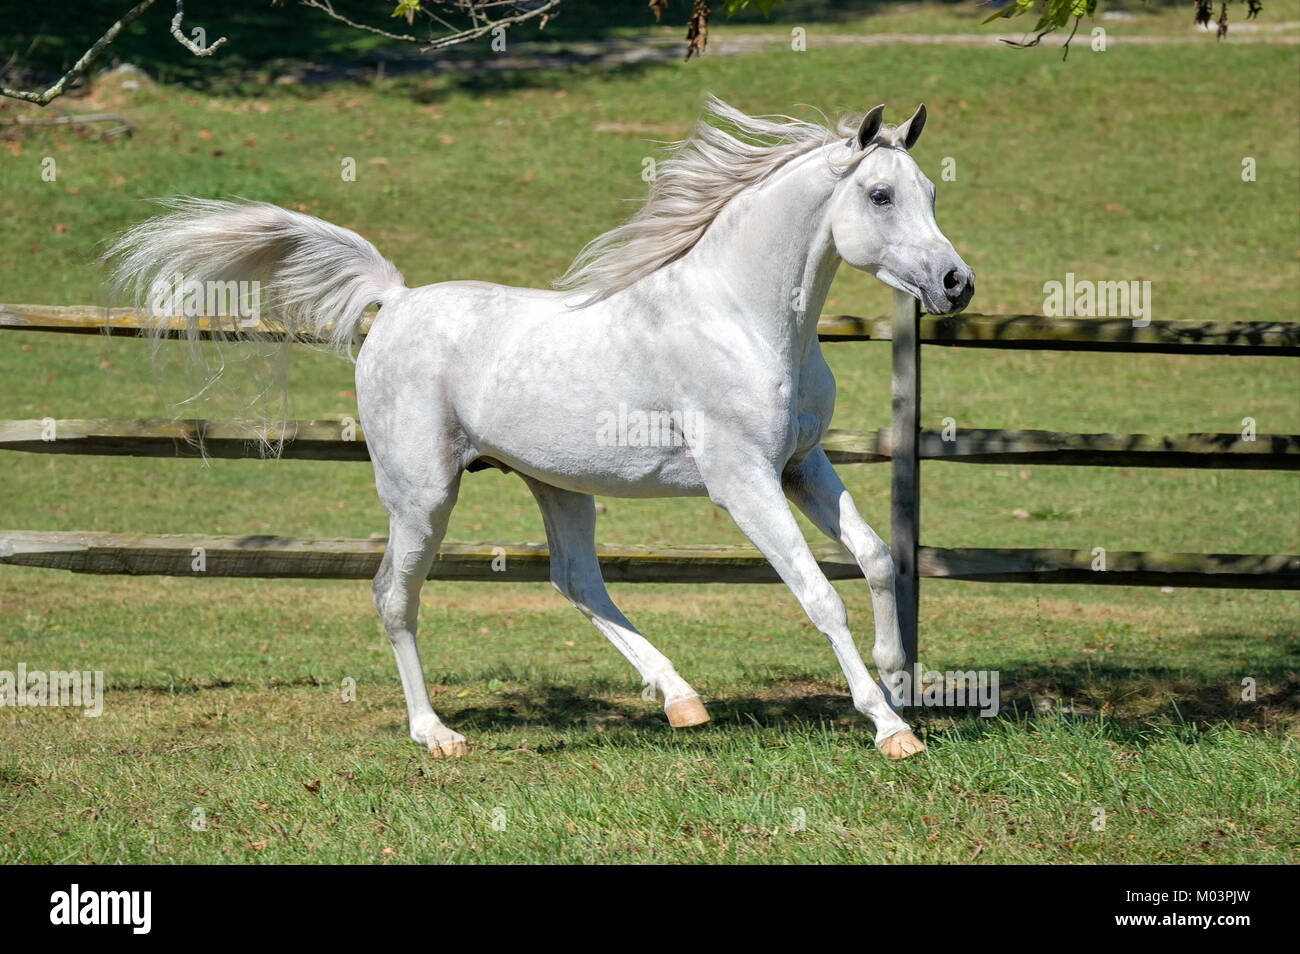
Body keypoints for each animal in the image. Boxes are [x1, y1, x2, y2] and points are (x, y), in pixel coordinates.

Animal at [108, 96, 974, 760]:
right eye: (880, 196)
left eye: (932, 190)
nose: (956, 283)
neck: (740, 317)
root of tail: (397, 301)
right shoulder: (743, 481)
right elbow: (818, 593)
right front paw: (890, 728)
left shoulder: (801, 464)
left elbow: (875, 557)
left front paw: (900, 678)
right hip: (423, 494)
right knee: (394, 595)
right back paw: (436, 734)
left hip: (558, 486)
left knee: (575, 580)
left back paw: (682, 701)